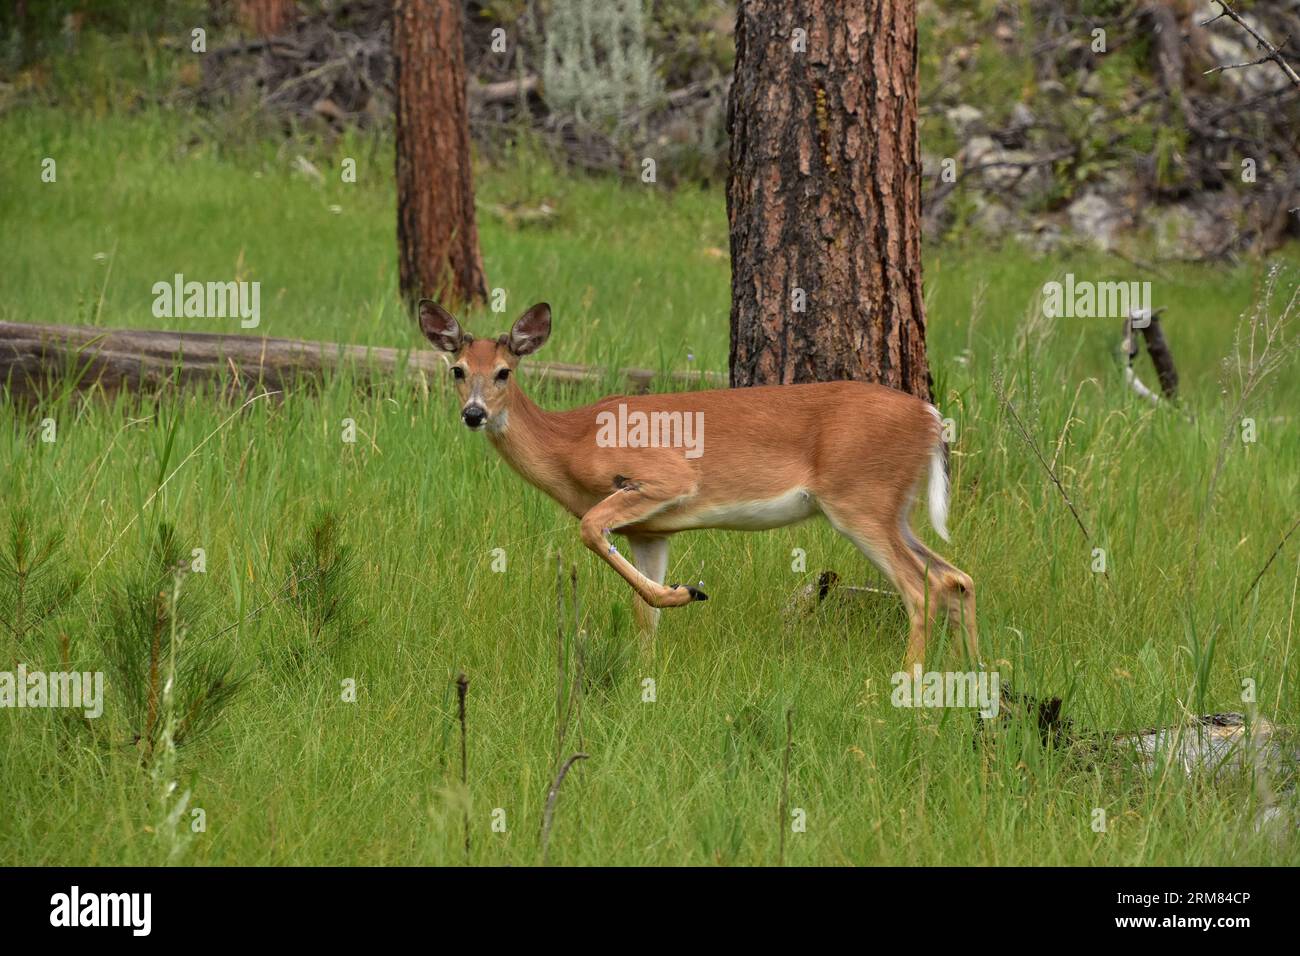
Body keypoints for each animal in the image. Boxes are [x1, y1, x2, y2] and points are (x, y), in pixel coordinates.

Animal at [419, 300, 977, 673]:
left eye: (503, 372)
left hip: (859, 499)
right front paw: (647, 673)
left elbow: (590, 528)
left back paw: (906, 679)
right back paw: (972, 675)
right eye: (457, 370)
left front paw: (688, 592)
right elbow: (643, 612)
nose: (474, 414)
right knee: (956, 578)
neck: (569, 442)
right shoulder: (650, 532)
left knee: (922, 588)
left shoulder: (666, 477)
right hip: (893, 507)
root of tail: (931, 418)